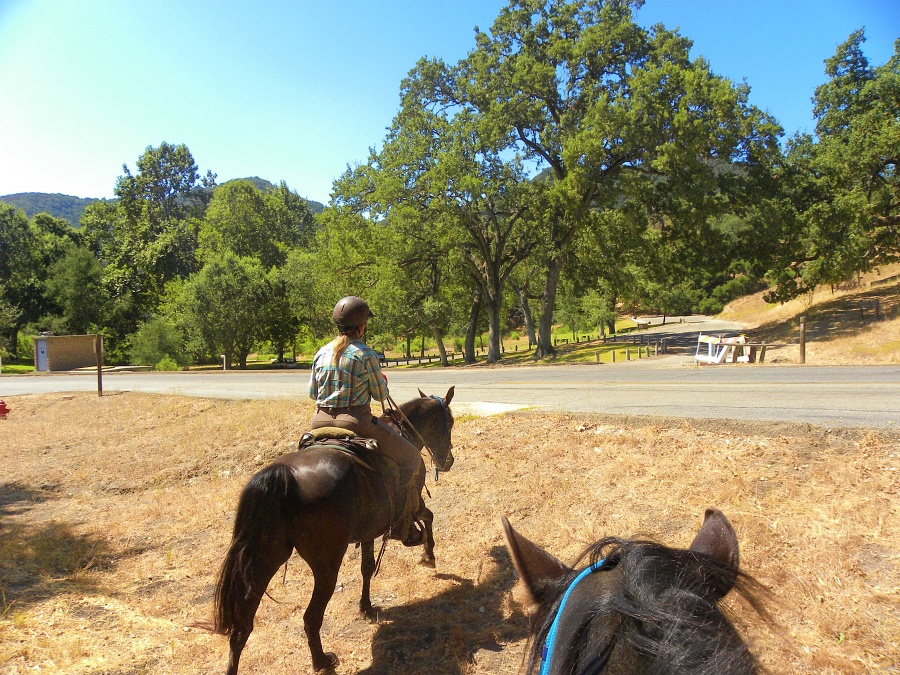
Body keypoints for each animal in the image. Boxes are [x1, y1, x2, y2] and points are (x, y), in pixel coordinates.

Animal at [213, 387, 455, 674]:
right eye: (450, 423)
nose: (449, 461)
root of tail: (283, 475)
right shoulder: (413, 503)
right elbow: (428, 517)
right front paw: (428, 555)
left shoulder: (369, 528)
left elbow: (366, 567)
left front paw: (366, 606)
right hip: (326, 564)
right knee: (311, 617)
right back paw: (323, 661)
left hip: (265, 558)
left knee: (242, 625)